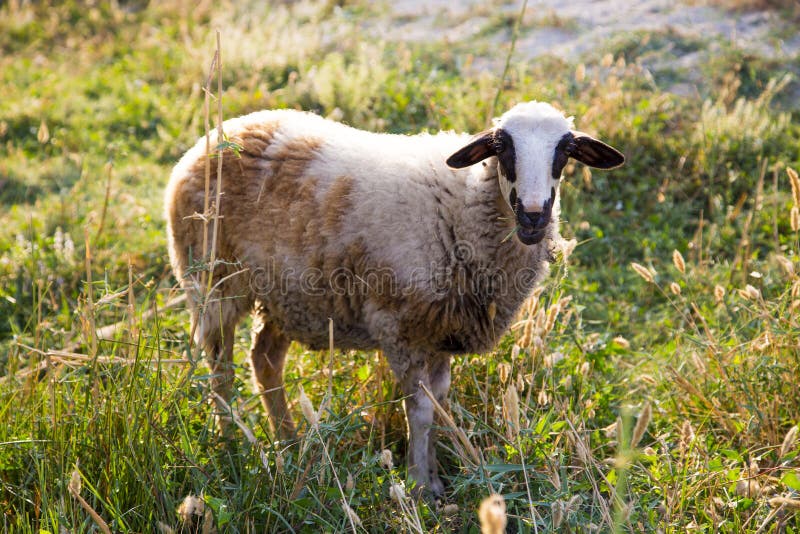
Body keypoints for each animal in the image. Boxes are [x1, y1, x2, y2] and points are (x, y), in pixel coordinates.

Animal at [165, 101, 624, 496]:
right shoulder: (400, 328)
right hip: (212, 282)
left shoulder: (439, 330)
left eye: (565, 151)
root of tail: (219, 133)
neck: (459, 207)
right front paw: (421, 487)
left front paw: (433, 475)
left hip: (287, 296)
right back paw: (231, 444)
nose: (533, 216)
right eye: (501, 147)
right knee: (221, 370)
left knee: (264, 359)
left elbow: (439, 403)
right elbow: (419, 409)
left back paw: (290, 443)